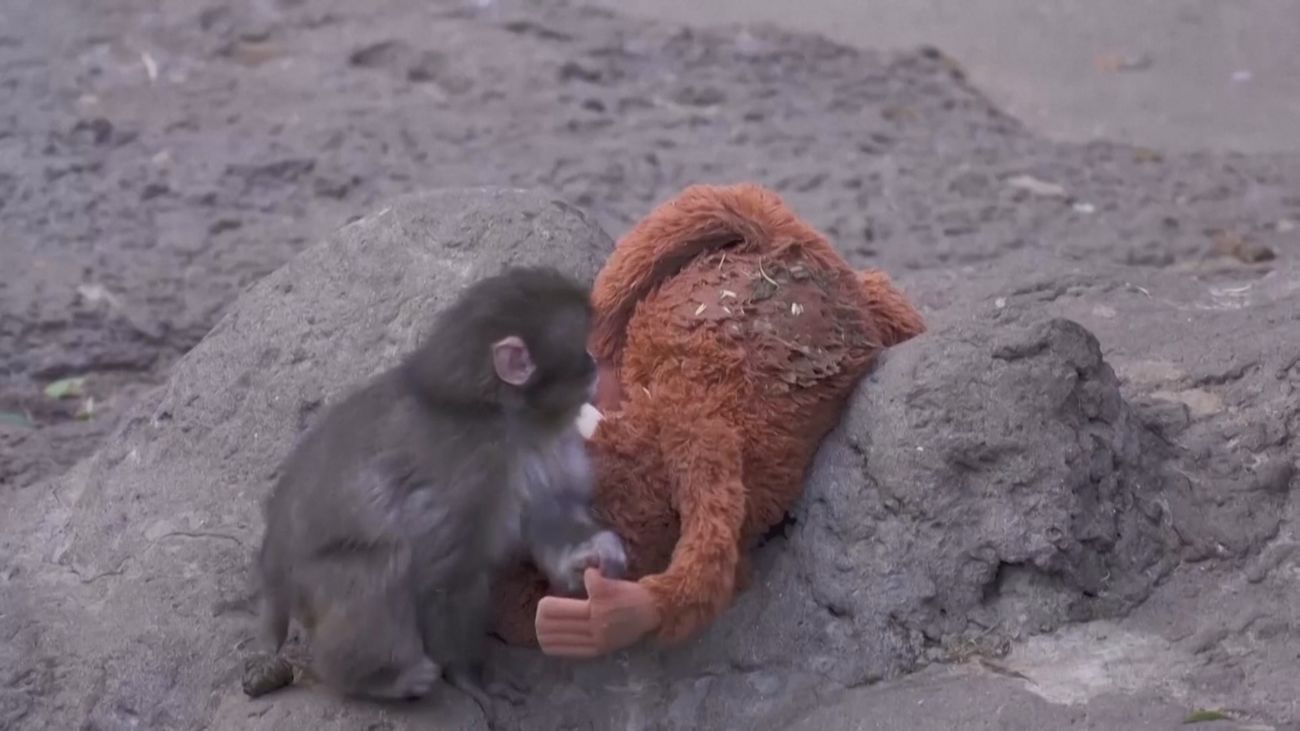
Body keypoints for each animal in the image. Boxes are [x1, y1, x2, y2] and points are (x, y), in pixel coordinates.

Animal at [243, 266, 627, 718]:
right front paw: (471, 675)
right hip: (310, 581)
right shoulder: (475, 474)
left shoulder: (547, 449)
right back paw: (378, 678)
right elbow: (447, 576)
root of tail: (271, 565)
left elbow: (551, 517)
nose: (595, 366)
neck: (503, 416)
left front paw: (594, 555)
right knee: (384, 562)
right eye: (581, 350)